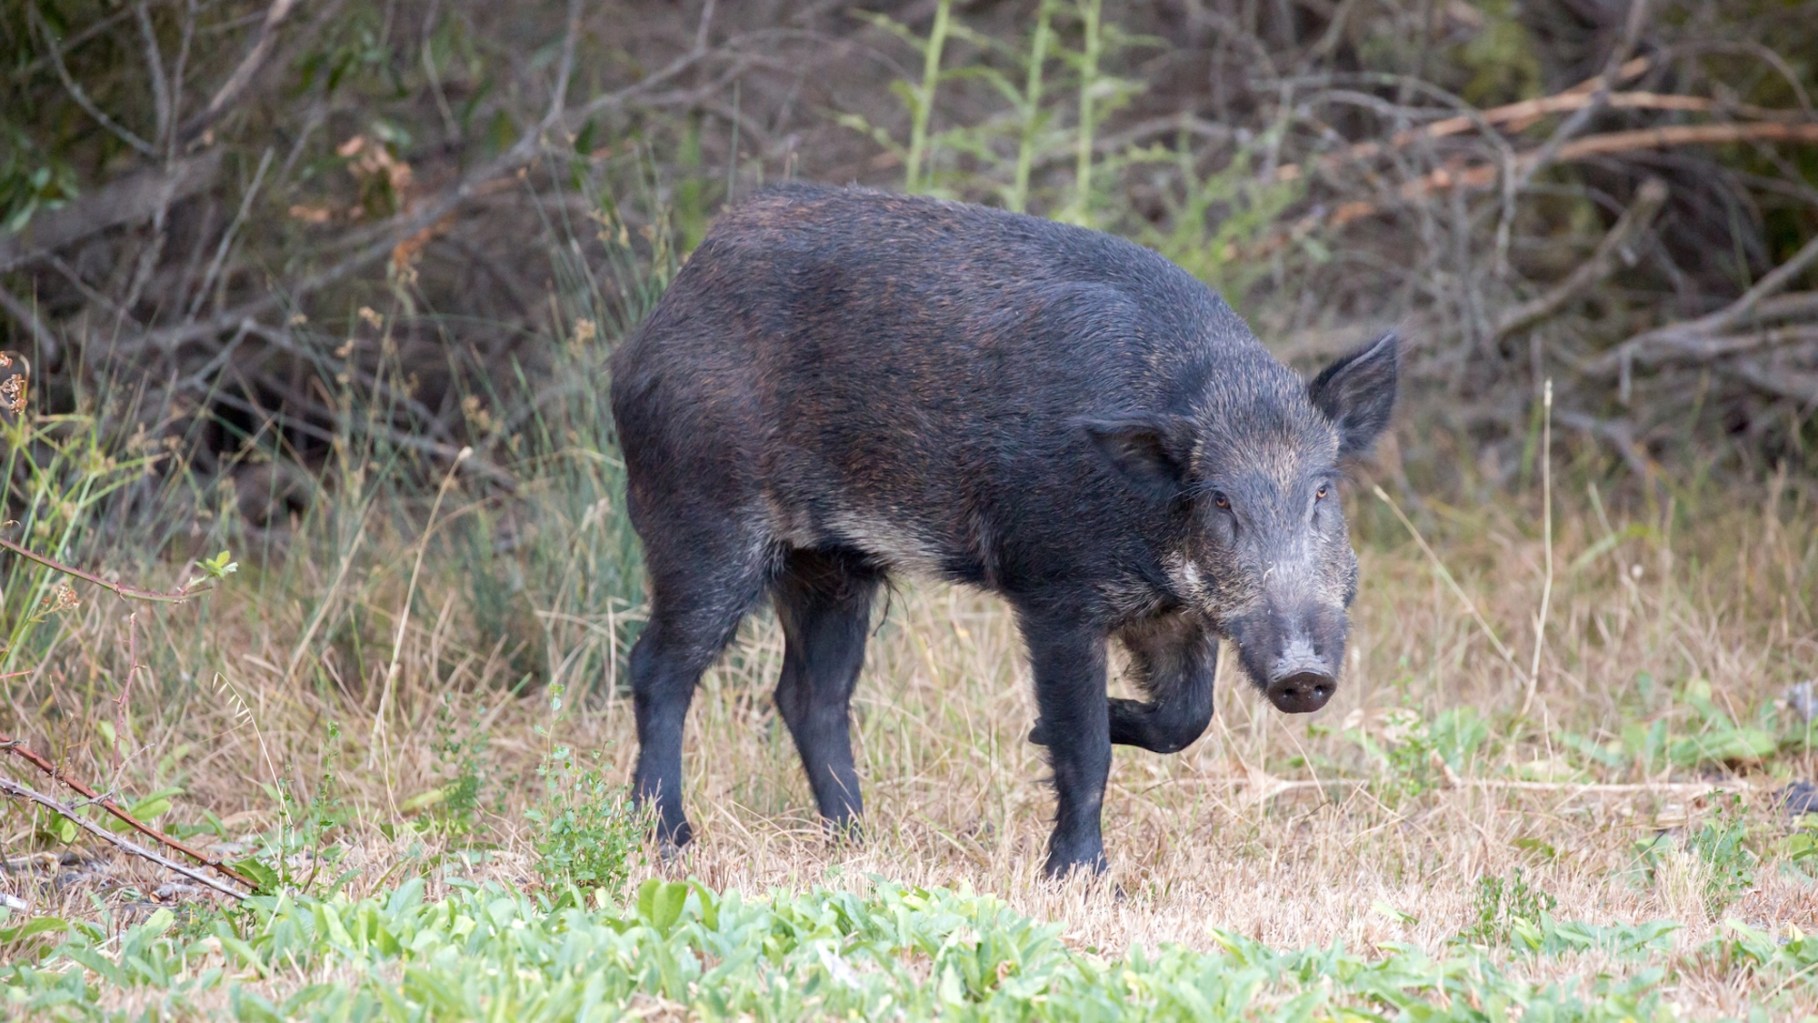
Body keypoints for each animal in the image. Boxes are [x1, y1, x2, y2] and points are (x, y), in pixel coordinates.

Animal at [608, 183, 1397, 877]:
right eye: (1219, 500)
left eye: (1322, 489)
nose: (1303, 673)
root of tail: (652, 326)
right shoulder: (1054, 592)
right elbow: (1085, 747)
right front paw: (1078, 873)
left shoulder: (1171, 614)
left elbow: (1187, 718)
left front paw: (1042, 737)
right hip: (704, 520)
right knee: (659, 667)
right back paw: (670, 840)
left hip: (831, 563)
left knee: (810, 697)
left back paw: (861, 843)